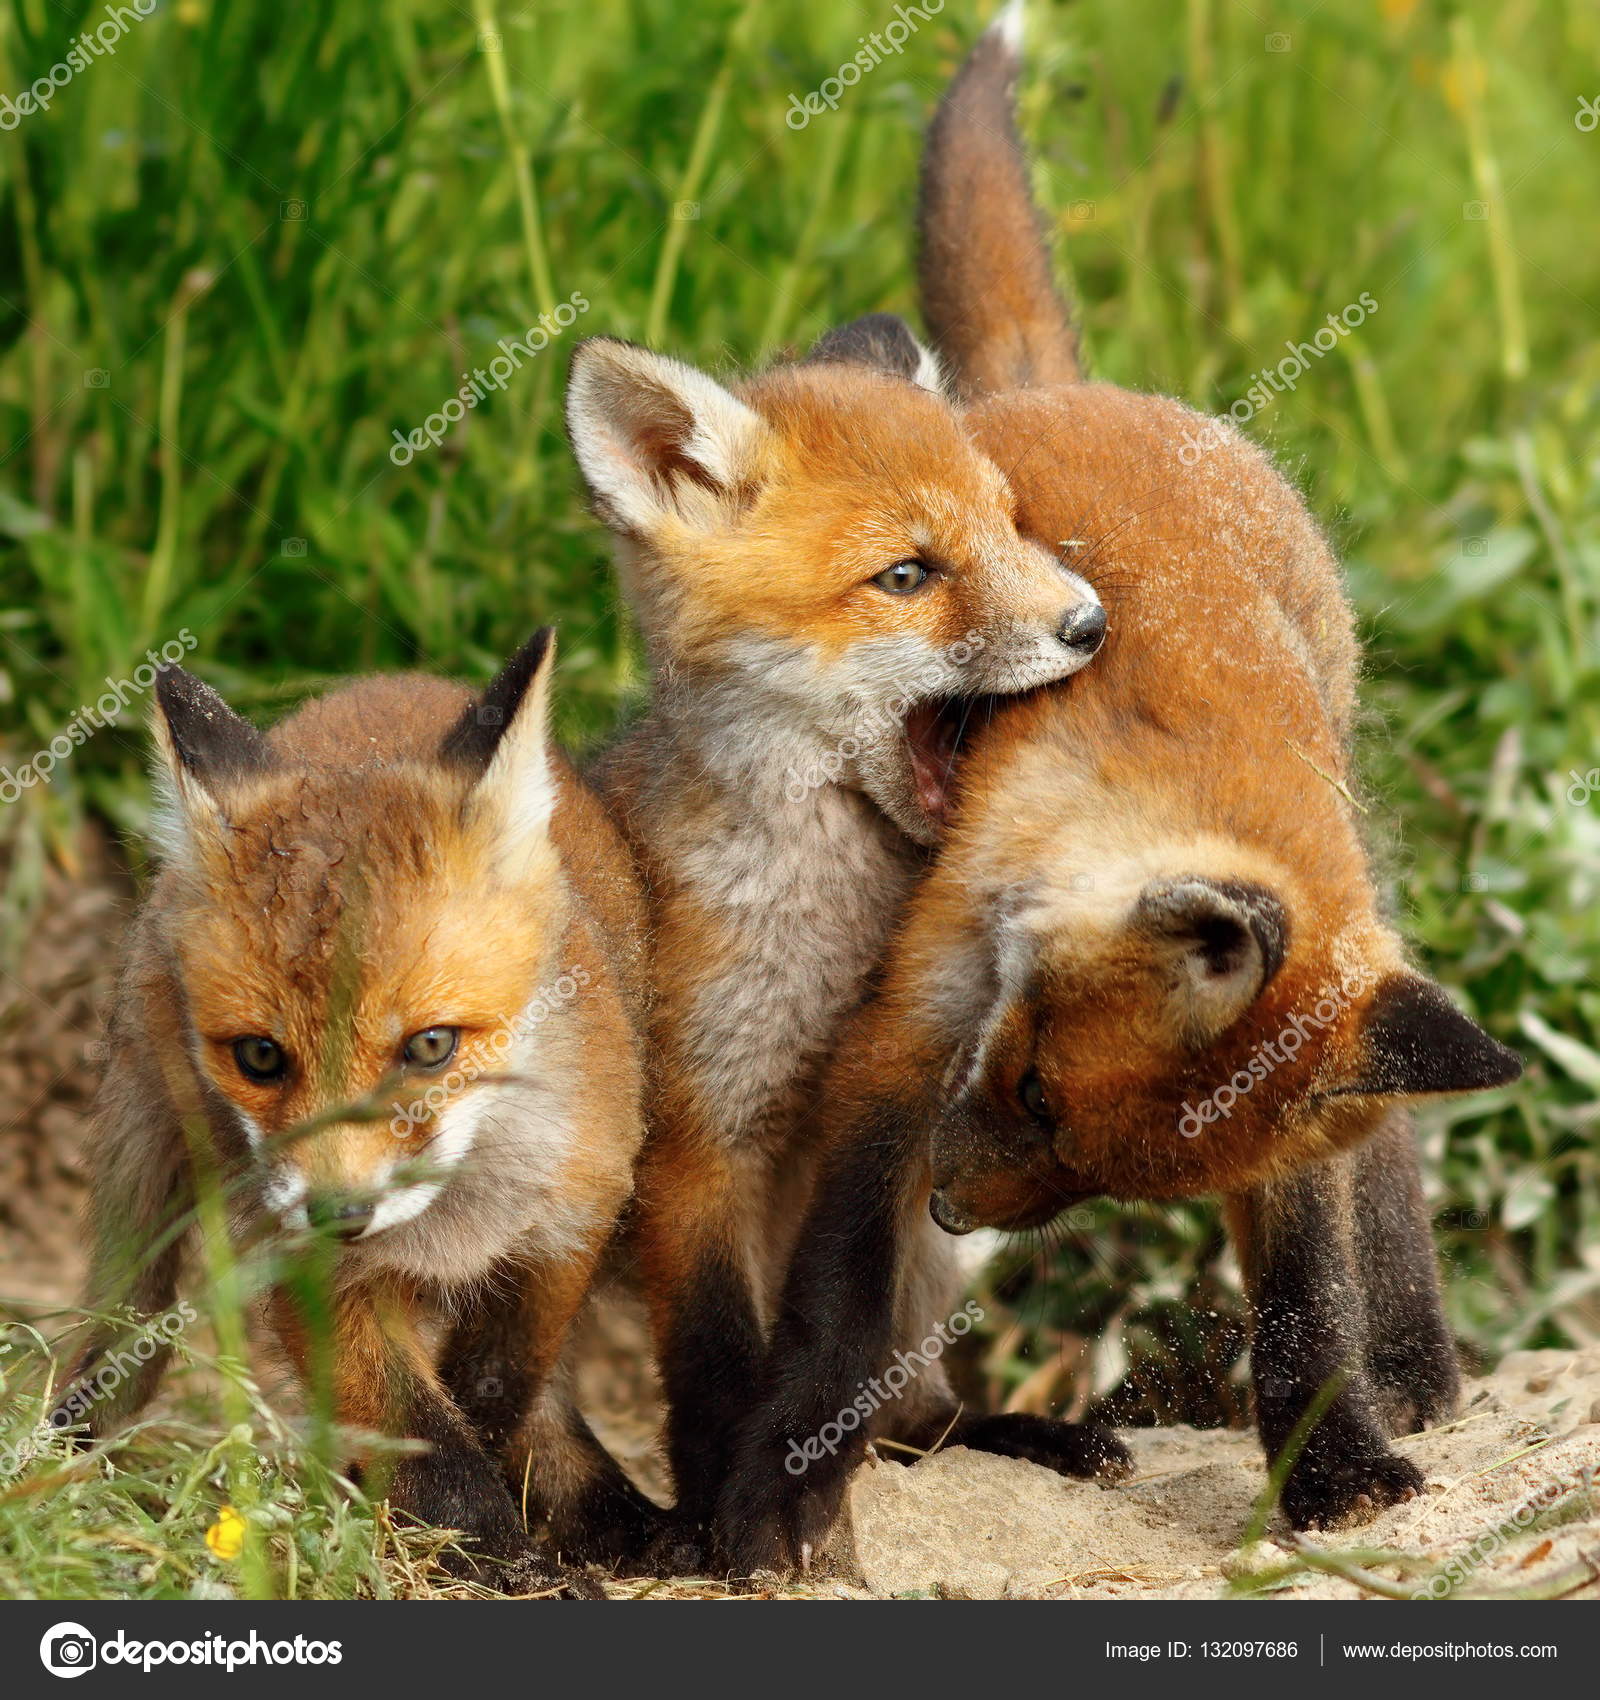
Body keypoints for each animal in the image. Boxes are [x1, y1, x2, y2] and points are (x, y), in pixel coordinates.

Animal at [53, 630, 662, 1568]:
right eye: (260, 1056)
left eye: (431, 1047)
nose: (339, 1212)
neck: (454, 1223)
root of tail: (388, 681)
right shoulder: (313, 1271)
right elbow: (432, 1451)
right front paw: (502, 1558)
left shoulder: (571, 1225)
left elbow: (498, 1389)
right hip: (142, 1156)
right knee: (119, 1335)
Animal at [564, 317, 1108, 1547]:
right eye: (905, 576)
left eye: (1011, 523)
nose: (1090, 622)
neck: (831, 934)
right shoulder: (702, 1128)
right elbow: (716, 1356)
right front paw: (725, 1518)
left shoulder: (907, 1084)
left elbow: (852, 1322)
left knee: (922, 1402)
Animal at [717, 2, 1522, 1572]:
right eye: (1027, 1084)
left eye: (1101, 1166)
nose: (952, 1201)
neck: (1181, 756)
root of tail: (1044, 391)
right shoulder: (907, 1023)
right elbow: (839, 1283)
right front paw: (794, 1465)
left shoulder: (1286, 1127)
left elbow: (1306, 1299)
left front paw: (1335, 1463)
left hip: (1377, 977)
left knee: (1384, 1165)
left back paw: (1412, 1368)